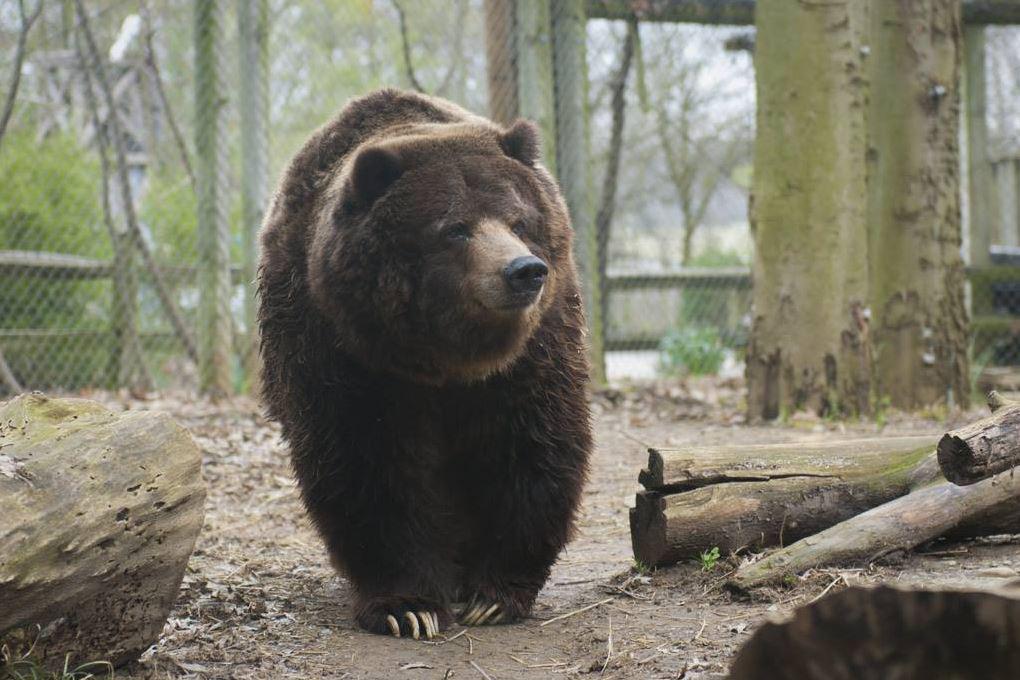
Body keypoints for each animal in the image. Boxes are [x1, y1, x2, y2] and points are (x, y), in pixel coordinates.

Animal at [257, 88, 592, 640]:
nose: (523, 270)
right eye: (455, 229)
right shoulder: (342, 349)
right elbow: (368, 461)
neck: (442, 358)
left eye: (519, 221)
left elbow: (529, 443)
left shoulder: (531, 351)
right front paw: (408, 605)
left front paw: (492, 593)